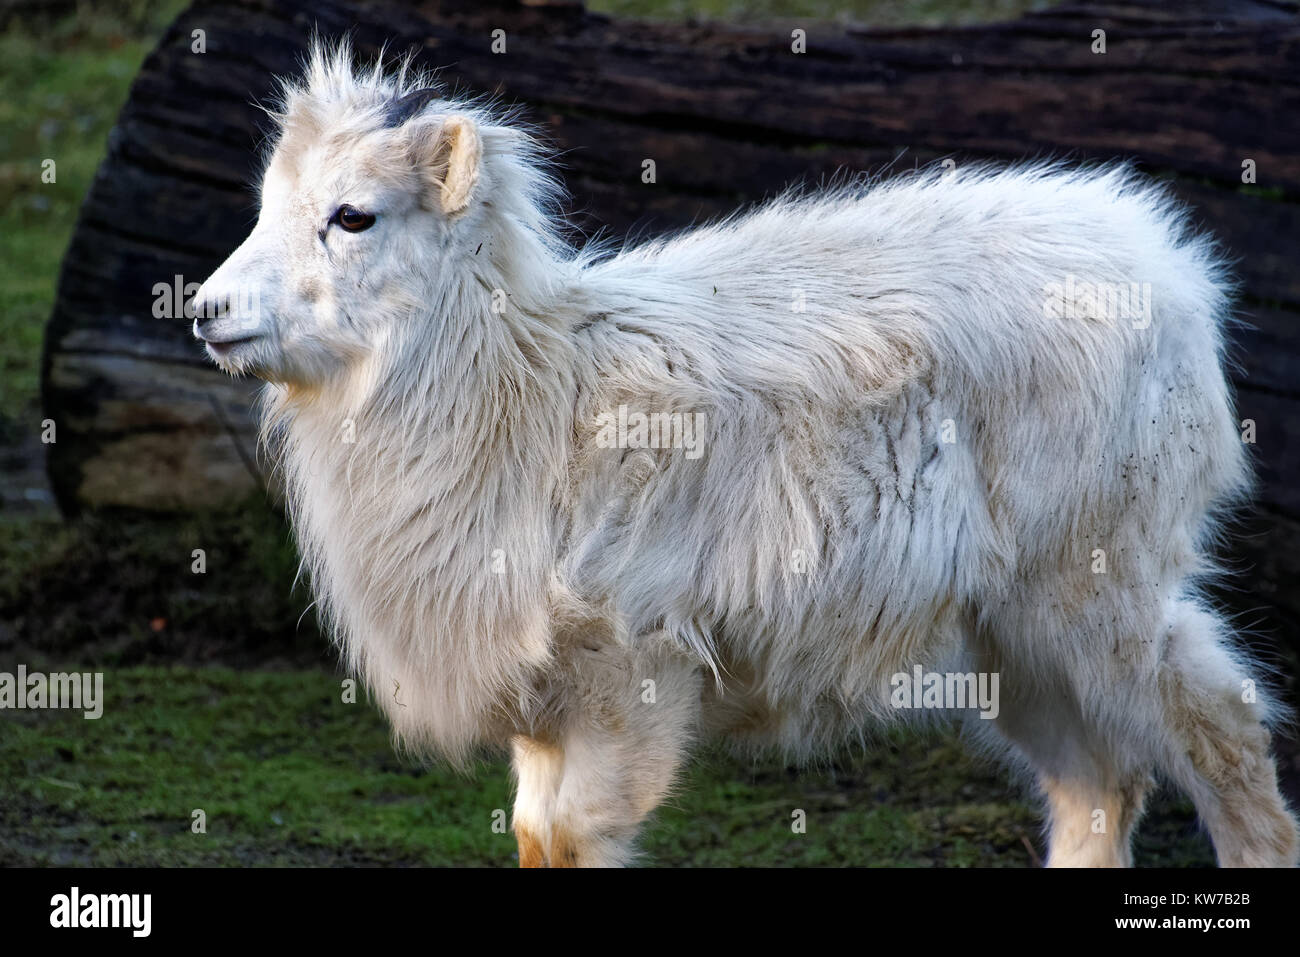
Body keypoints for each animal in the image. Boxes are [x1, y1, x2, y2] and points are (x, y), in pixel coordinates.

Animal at [191, 40, 1299, 868]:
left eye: (353, 216)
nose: (206, 311)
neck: (526, 391)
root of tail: (1172, 272)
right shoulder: (543, 711)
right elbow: (536, 839)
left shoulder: (627, 679)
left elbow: (575, 837)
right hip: (1009, 625)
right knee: (1094, 783)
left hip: (1099, 584)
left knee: (1220, 725)